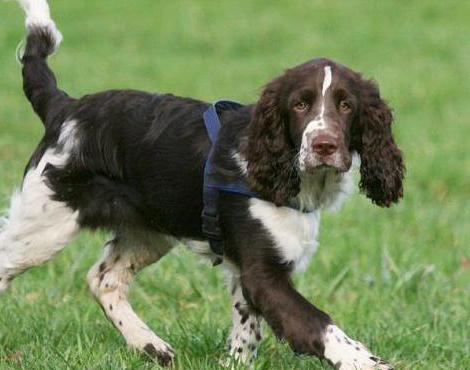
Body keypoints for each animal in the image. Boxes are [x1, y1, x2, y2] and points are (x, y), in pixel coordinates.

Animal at [0, 1, 404, 368]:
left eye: (347, 106)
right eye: (300, 105)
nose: (324, 146)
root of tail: (64, 108)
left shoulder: (248, 272)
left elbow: (246, 330)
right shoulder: (263, 274)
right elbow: (319, 324)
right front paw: (367, 361)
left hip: (148, 231)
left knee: (104, 279)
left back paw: (152, 346)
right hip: (44, 222)